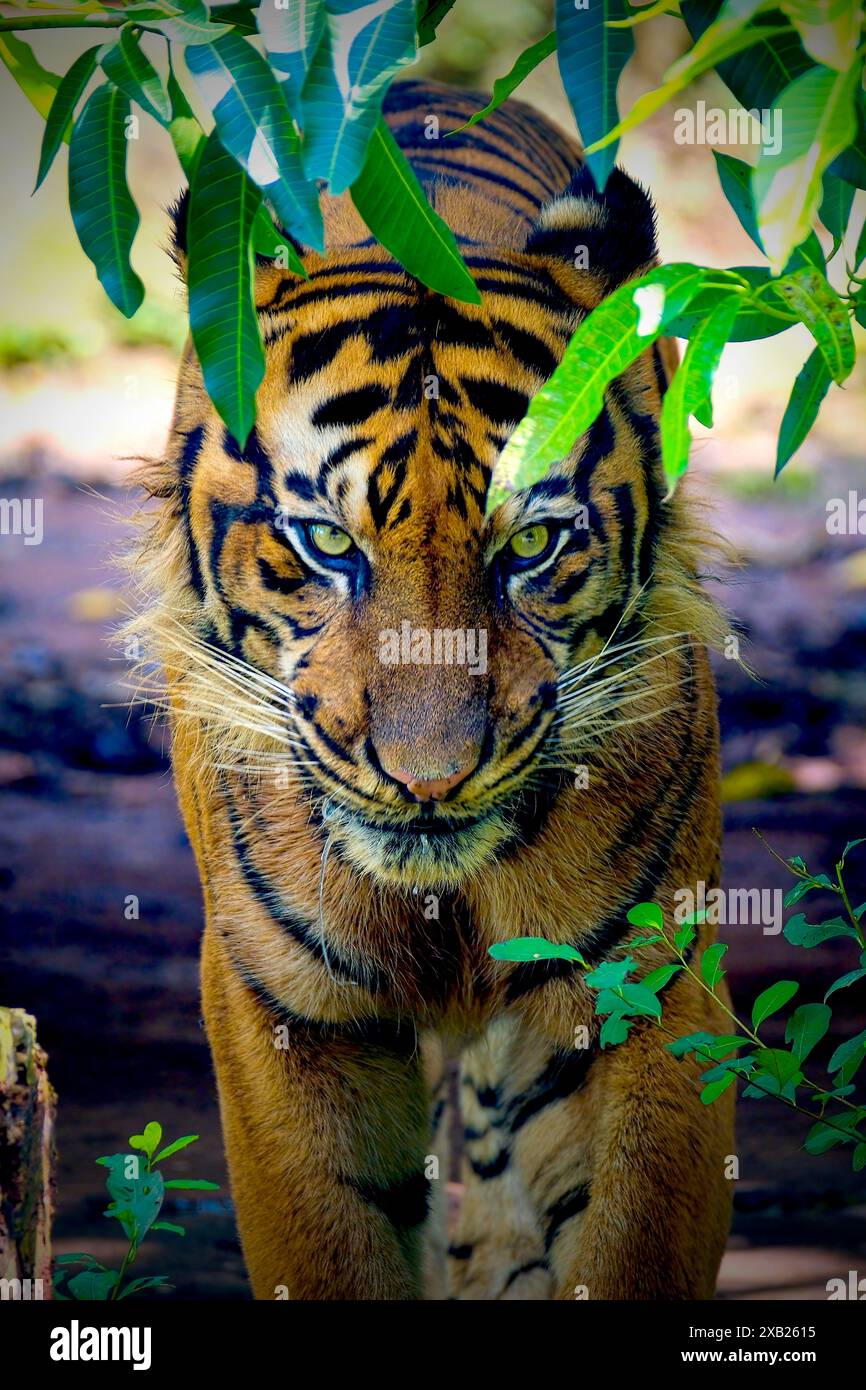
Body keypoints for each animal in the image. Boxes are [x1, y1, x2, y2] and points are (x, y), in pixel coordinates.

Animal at [128, 77, 735, 1300]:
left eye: (532, 544)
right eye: (325, 543)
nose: (429, 780)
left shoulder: (647, 993)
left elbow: (630, 1238)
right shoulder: (285, 1008)